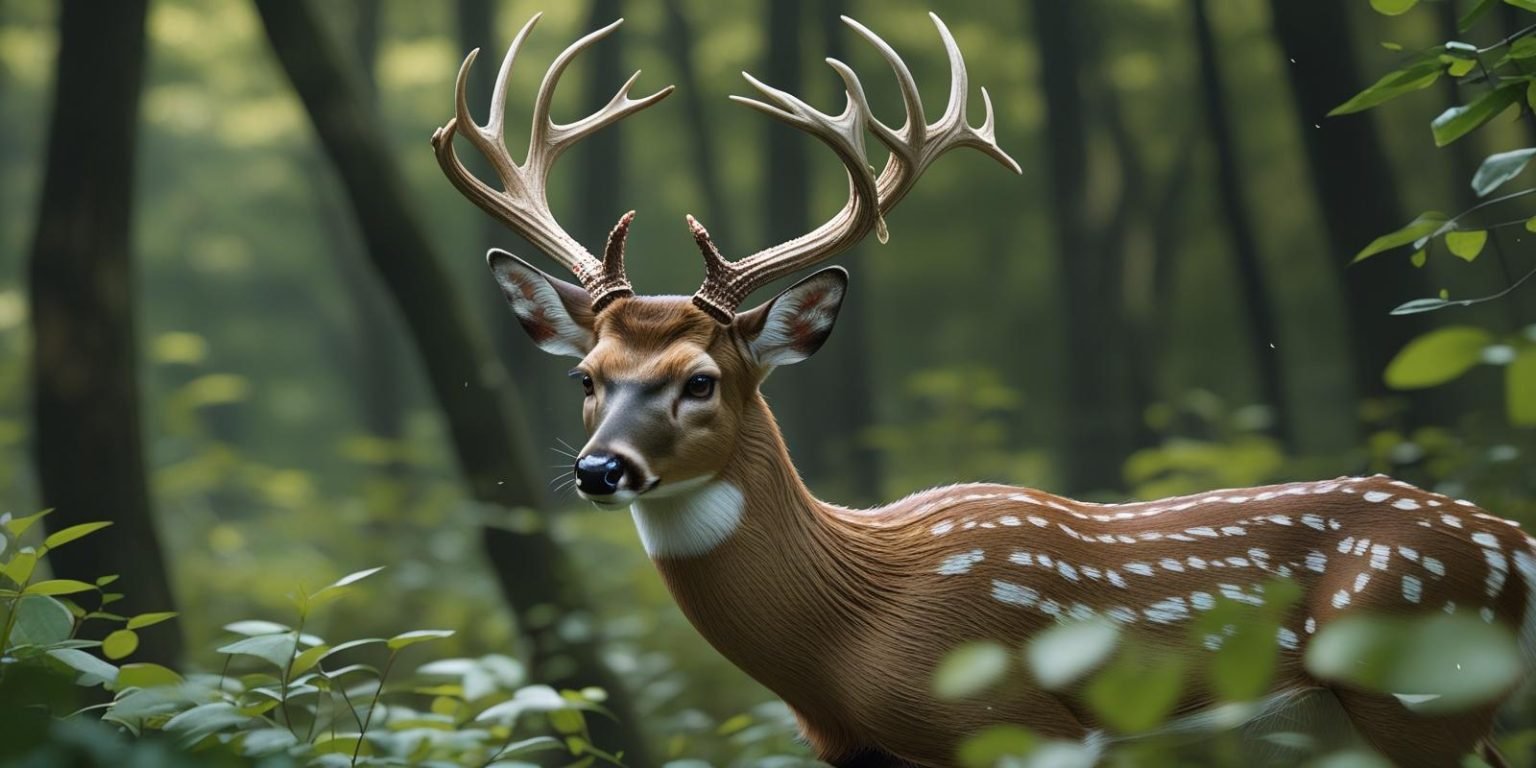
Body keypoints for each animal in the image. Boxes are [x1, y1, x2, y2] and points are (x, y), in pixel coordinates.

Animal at [430, 13, 1536, 768]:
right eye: (586, 376)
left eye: (700, 379)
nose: (599, 469)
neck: (852, 633)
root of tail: (1517, 548)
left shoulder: (1015, 723)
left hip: (1422, 689)